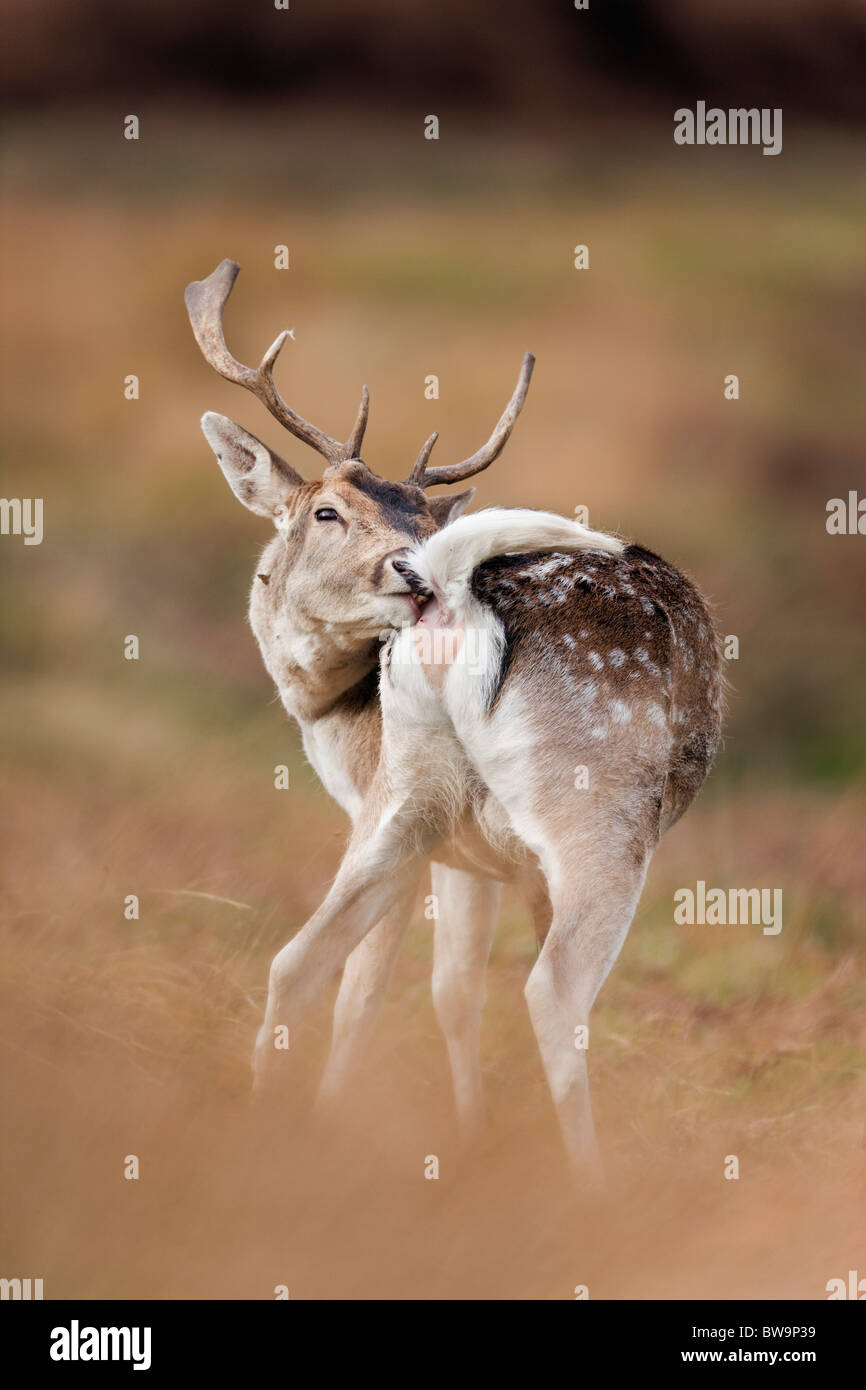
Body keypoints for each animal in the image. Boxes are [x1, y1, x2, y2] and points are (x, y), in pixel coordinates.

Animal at [184, 258, 724, 1183]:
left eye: (425, 516)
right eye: (325, 510)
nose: (411, 567)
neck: (331, 720)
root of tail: (464, 592)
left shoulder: (452, 846)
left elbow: (443, 993)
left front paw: (467, 1141)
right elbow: (417, 988)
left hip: (420, 799)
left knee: (296, 963)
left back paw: (268, 1138)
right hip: (597, 812)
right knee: (552, 991)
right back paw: (594, 1187)